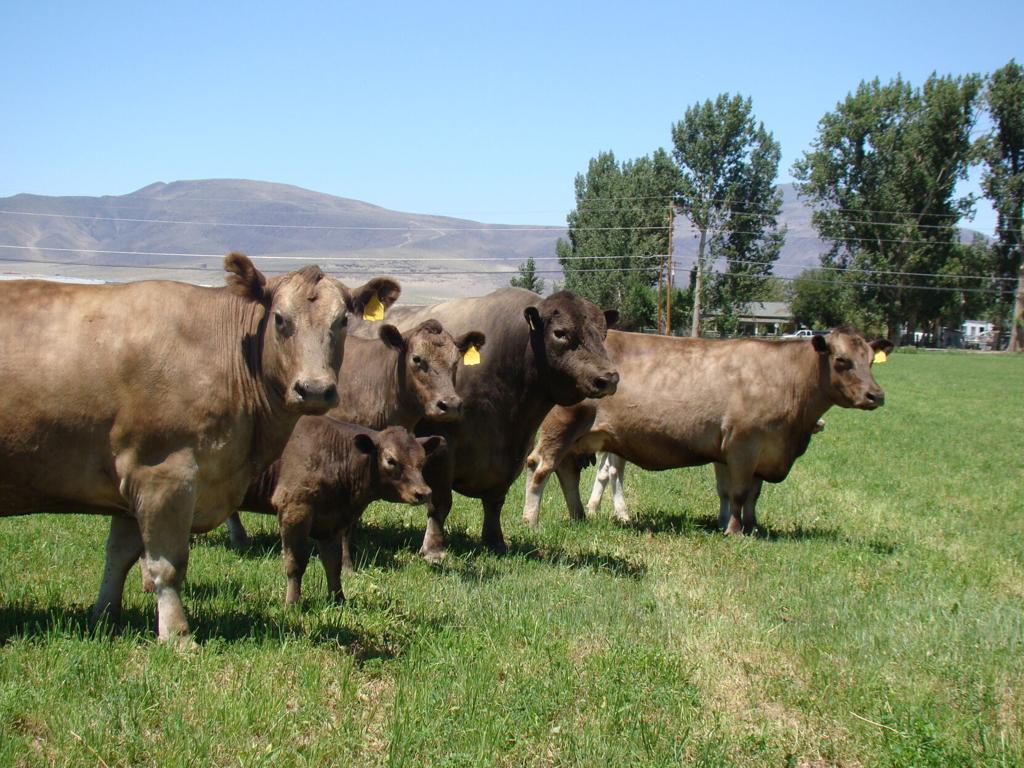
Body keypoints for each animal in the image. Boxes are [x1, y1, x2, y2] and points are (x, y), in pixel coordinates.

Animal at [0, 253, 399, 643]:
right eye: (280, 319)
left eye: (342, 321)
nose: (315, 389)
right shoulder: (163, 476)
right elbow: (167, 564)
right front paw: (177, 635)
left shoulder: (131, 482)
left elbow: (119, 554)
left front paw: (105, 617)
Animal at [240, 417, 443, 604]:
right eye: (390, 460)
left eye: (422, 461)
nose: (423, 493)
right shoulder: (294, 510)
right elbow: (295, 562)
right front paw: (292, 603)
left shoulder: (331, 521)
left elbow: (333, 563)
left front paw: (338, 599)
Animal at [348, 288, 619, 561]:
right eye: (560, 333)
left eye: (604, 333)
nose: (608, 378)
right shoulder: (442, 448)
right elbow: (441, 502)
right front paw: (433, 548)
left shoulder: (511, 456)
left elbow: (495, 502)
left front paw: (494, 541)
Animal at [522, 328, 892, 534]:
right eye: (842, 361)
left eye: (871, 360)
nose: (876, 395)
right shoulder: (744, 444)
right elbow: (740, 492)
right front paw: (735, 531)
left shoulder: (744, 450)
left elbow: (743, 493)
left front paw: (750, 525)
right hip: (562, 427)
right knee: (540, 468)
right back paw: (532, 521)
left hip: (578, 436)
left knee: (567, 472)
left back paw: (579, 517)